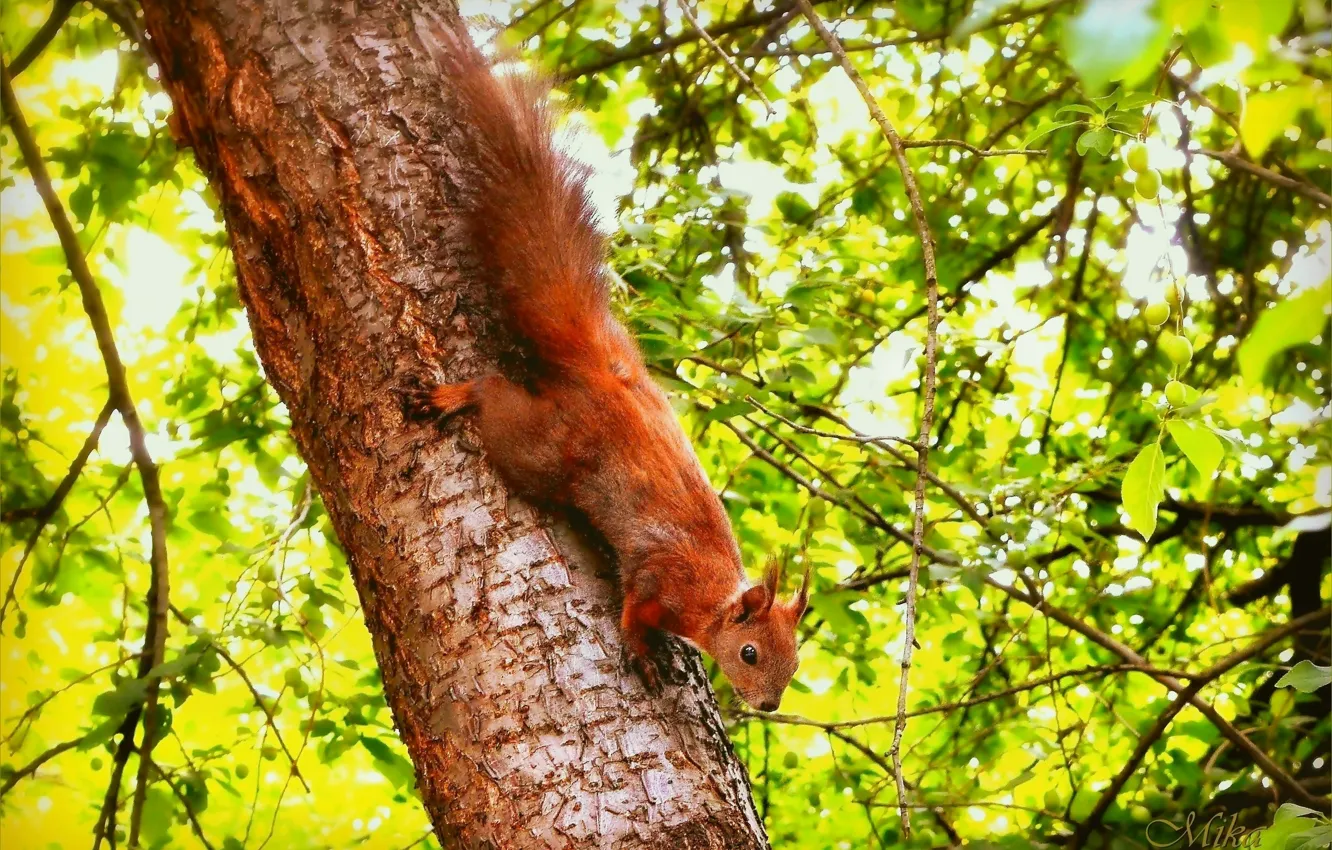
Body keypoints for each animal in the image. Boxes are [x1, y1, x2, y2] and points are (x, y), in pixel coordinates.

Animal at [412, 27, 808, 712]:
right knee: (498, 397)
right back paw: (460, 395)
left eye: (796, 661)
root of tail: (598, 372)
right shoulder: (658, 581)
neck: (709, 603)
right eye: (751, 653)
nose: (769, 705)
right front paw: (641, 649)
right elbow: (632, 607)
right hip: (544, 451)